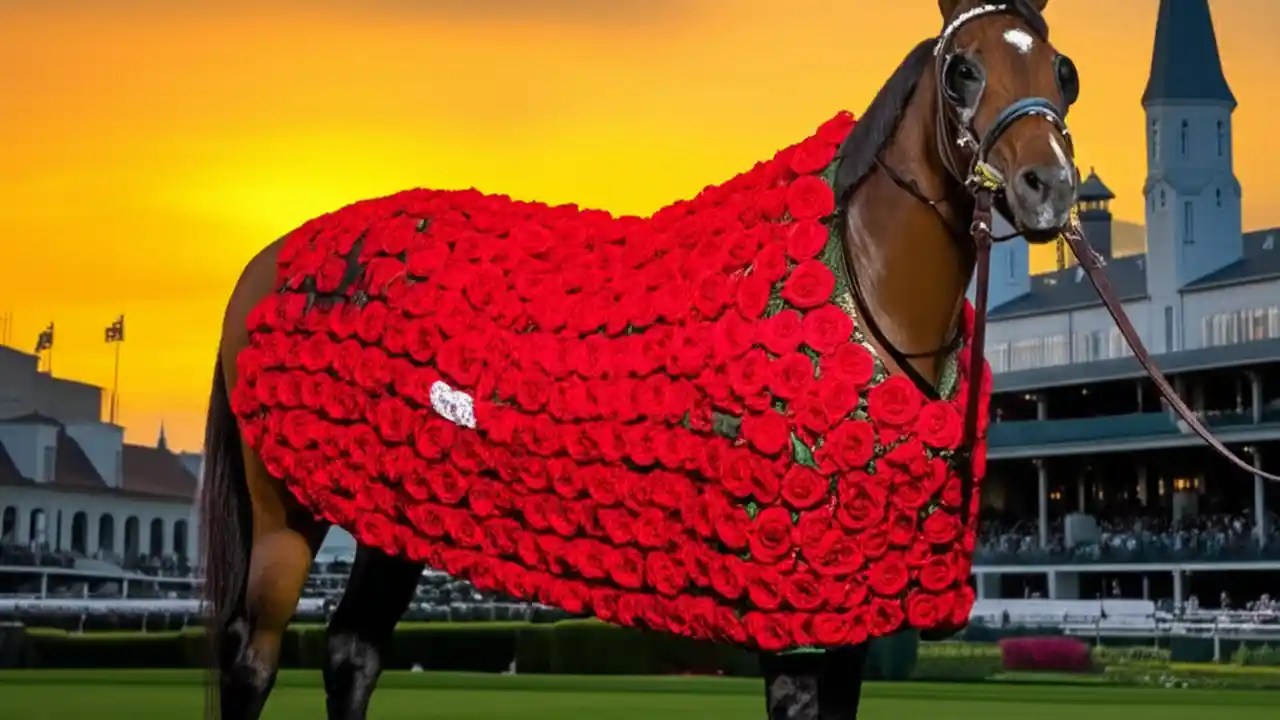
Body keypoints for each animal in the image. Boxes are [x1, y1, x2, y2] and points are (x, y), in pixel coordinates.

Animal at [199, 1, 1083, 718]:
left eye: (1062, 73)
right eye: (963, 69)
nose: (1049, 186)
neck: (855, 288)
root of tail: (271, 261)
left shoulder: (857, 606)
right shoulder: (792, 607)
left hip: (395, 514)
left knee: (352, 653)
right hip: (284, 513)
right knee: (254, 661)